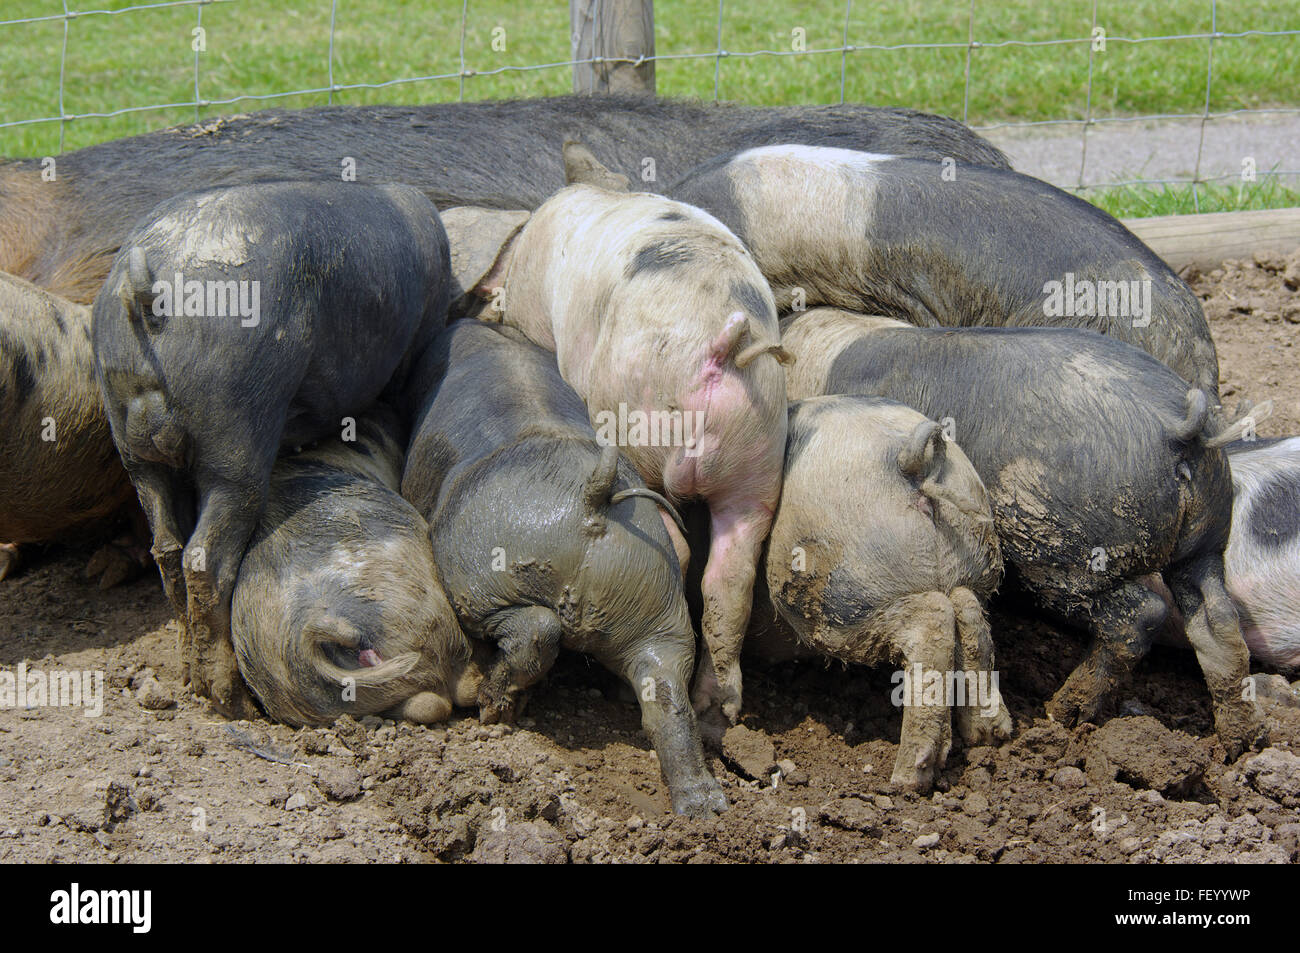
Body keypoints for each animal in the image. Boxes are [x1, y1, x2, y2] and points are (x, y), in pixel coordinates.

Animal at [92, 181, 451, 718]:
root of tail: (145, 289)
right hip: (236, 426)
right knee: (204, 559)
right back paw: (231, 701)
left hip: (134, 444)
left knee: (167, 547)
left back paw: (191, 681)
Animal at [401, 321, 726, 817]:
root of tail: (591, 497)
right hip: (657, 605)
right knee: (667, 698)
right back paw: (705, 807)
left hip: (482, 575)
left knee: (535, 628)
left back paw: (495, 711)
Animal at [463, 147, 791, 724]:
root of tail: (722, 351)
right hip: (757, 456)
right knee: (730, 578)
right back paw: (719, 709)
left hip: (638, 428)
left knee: (676, 546)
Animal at [757, 396, 1009, 790]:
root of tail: (912, 460)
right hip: (971, 569)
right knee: (967, 613)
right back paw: (989, 735)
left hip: (852, 598)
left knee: (932, 625)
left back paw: (907, 779)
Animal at [781, 307, 1266, 758]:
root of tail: (1178, 426)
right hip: (1206, 539)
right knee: (1218, 619)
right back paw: (1242, 741)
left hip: (1067, 549)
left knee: (1140, 614)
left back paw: (1063, 711)